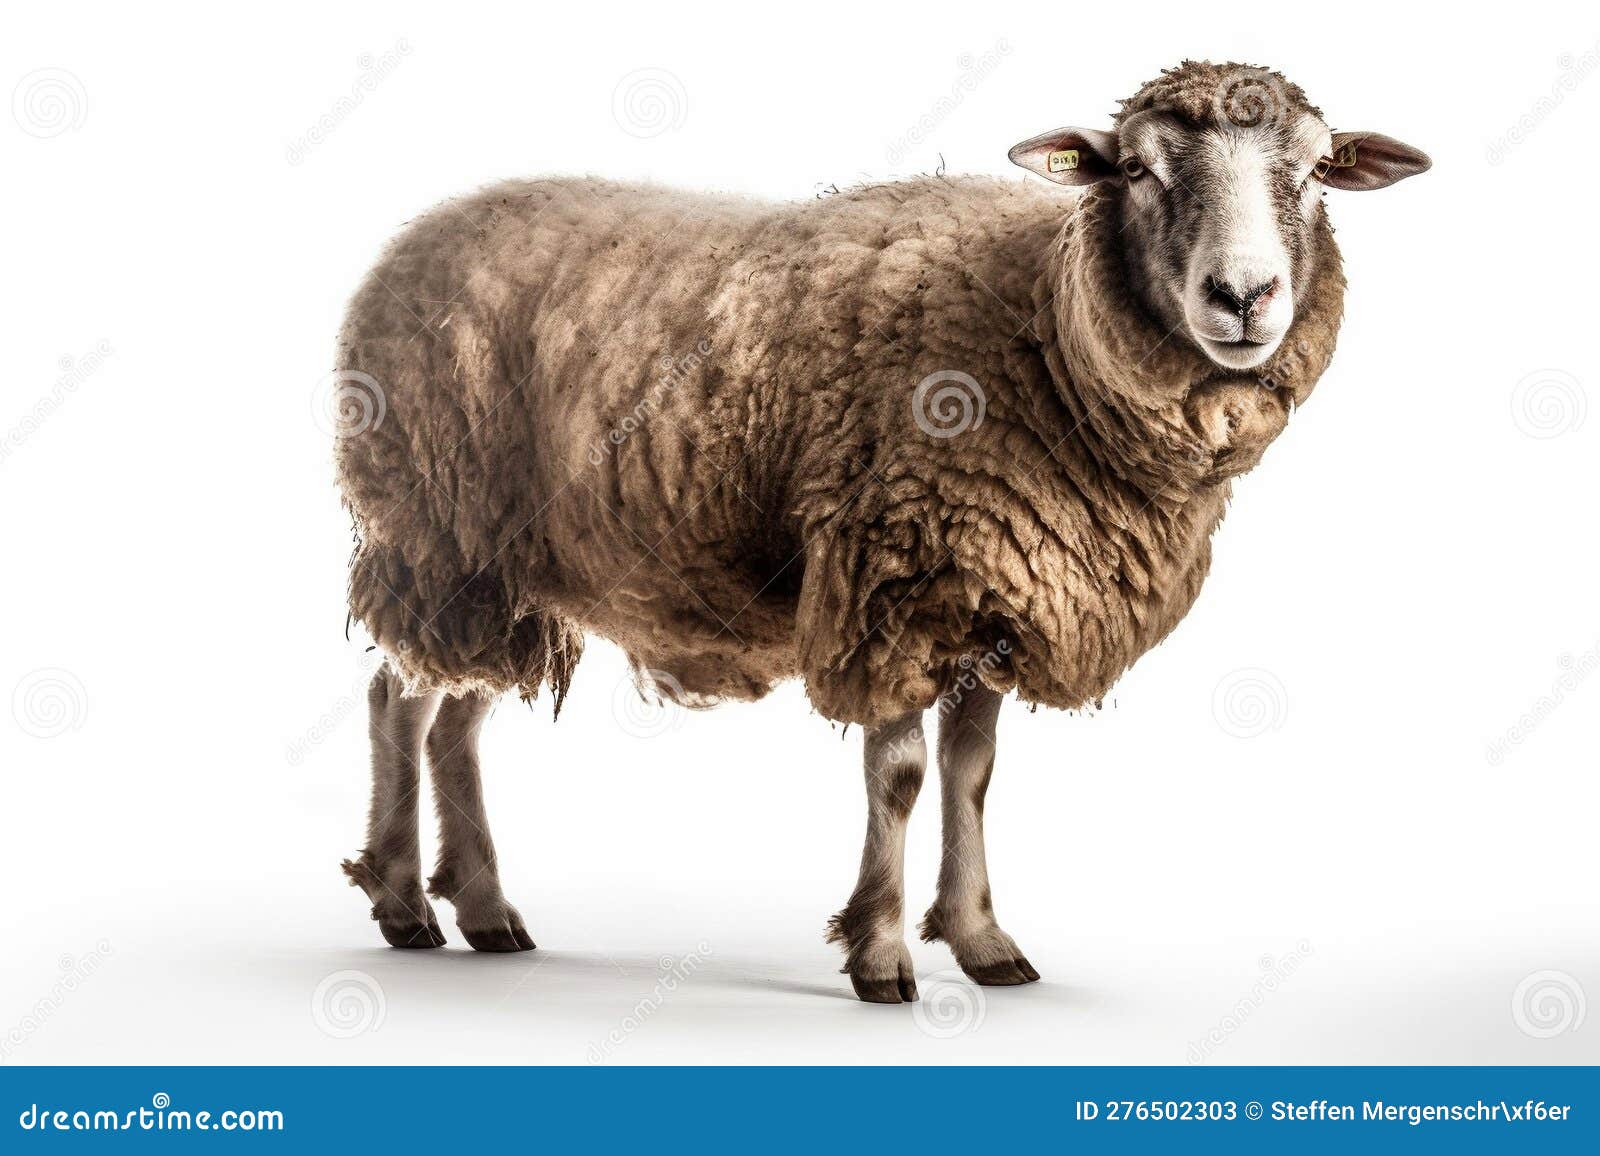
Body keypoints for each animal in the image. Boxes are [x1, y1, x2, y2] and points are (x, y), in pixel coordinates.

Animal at [333, 61, 1429, 1001]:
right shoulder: (893, 576)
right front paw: (880, 954)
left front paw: (982, 938)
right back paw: (404, 904)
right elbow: (899, 775)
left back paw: (481, 907)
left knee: (454, 716)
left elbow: (973, 773)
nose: (1243, 297)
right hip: (438, 540)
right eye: (1138, 170)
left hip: (502, 565)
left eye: (1313, 170)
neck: (1041, 329)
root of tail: (411, 236)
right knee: (401, 699)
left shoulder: (991, 586)